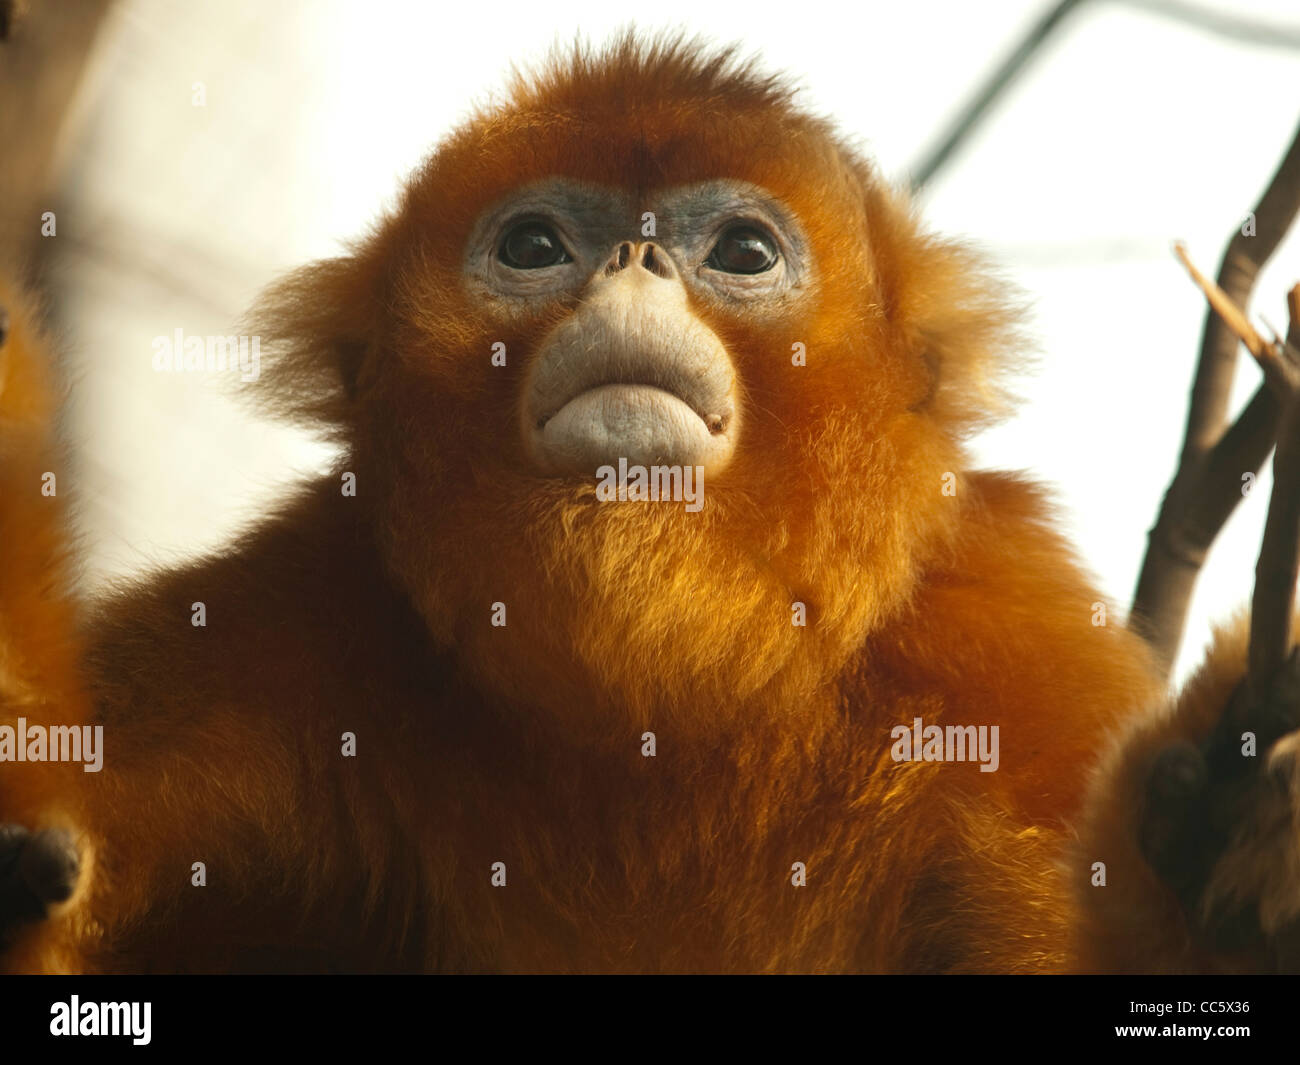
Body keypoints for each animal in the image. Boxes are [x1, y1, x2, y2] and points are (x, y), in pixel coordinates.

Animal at [1, 32, 1297, 973]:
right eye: (534, 246)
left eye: (741, 252)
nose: (633, 266)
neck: (656, 713)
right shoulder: (286, 631)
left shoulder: (996, 653)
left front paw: (1212, 871)